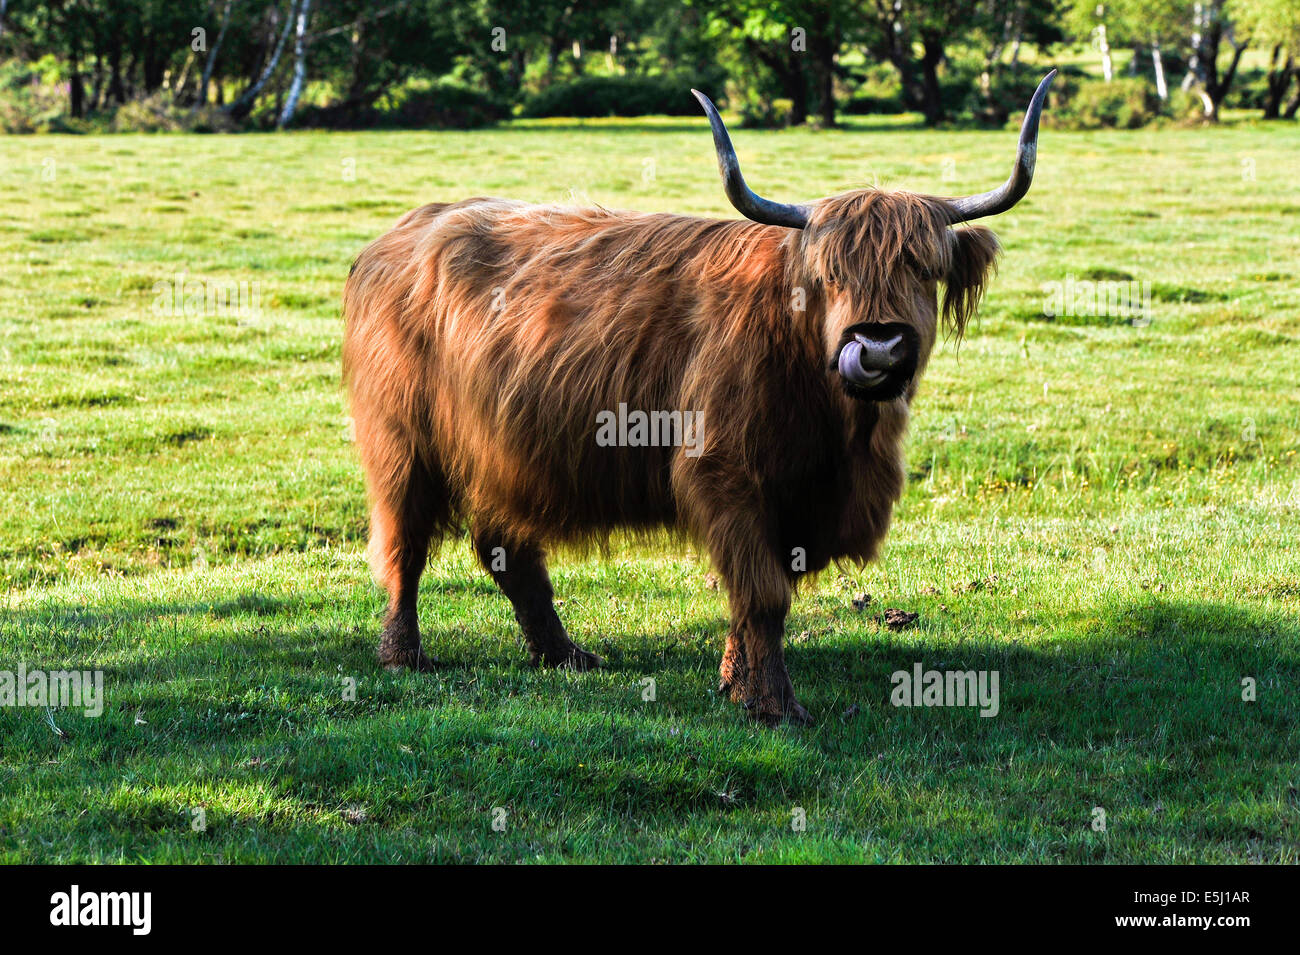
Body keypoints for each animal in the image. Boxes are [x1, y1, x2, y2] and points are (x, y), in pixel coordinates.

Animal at [342, 72, 1056, 725]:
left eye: (922, 269)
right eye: (828, 276)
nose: (877, 344)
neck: (839, 434)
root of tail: (396, 237)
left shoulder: (793, 497)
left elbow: (761, 590)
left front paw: (734, 680)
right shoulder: (725, 470)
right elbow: (762, 593)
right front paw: (772, 704)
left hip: (503, 452)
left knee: (507, 549)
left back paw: (565, 655)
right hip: (402, 442)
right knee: (404, 543)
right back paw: (405, 655)